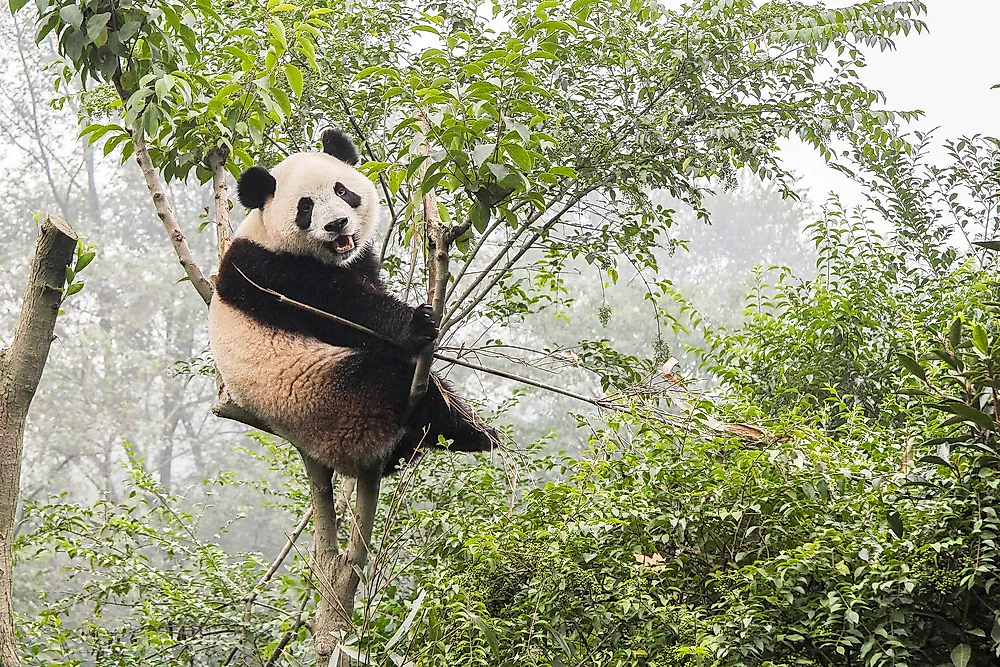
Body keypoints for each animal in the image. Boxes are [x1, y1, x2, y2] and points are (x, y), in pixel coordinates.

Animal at [208, 129, 498, 478]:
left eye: (342, 190)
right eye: (305, 207)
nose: (336, 224)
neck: (267, 235)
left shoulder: (358, 261)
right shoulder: (270, 274)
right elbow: (346, 312)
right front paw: (416, 324)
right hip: (331, 401)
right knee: (394, 378)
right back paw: (468, 432)